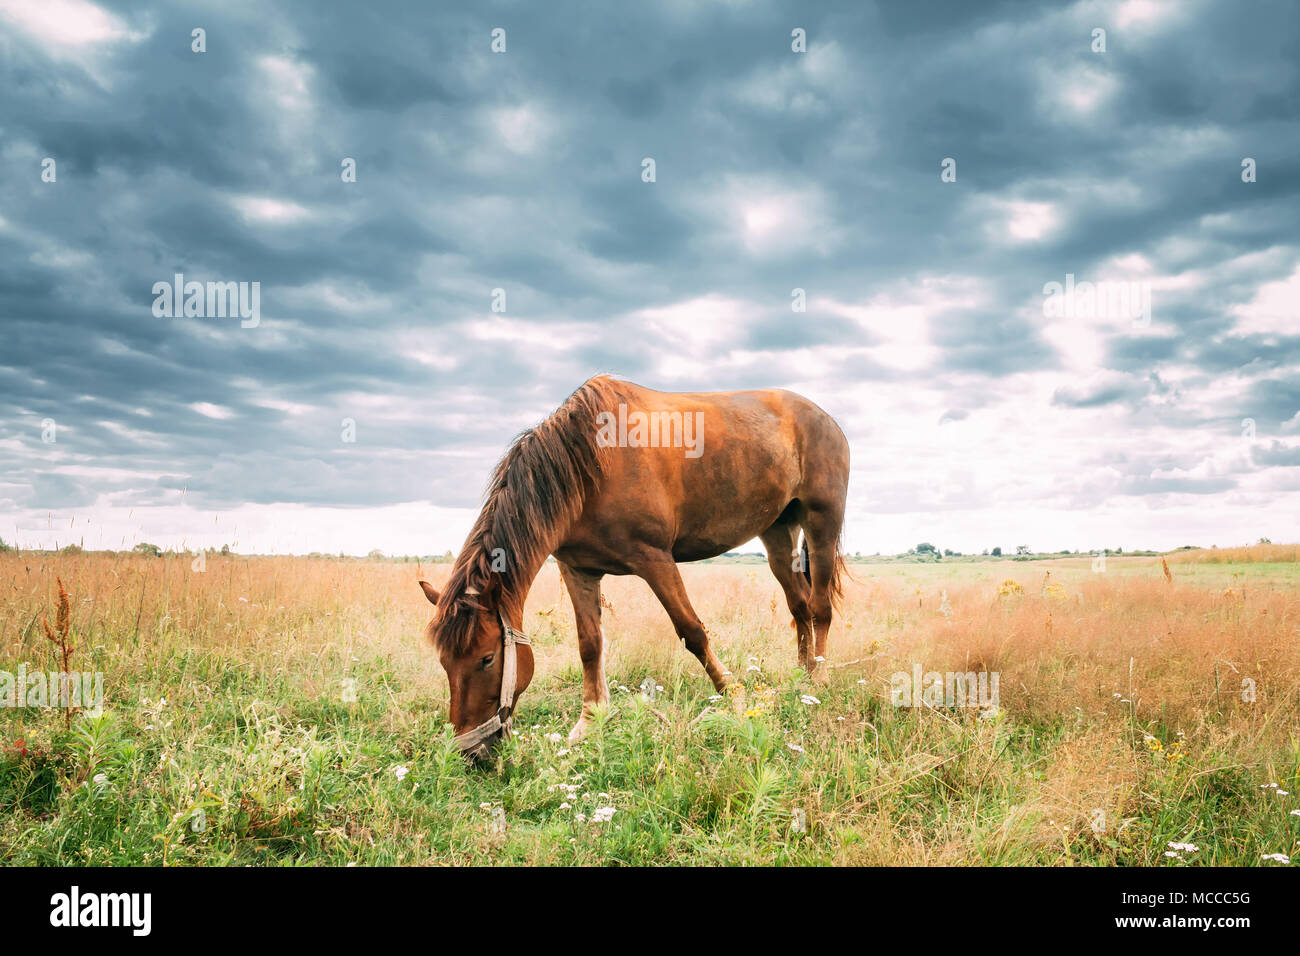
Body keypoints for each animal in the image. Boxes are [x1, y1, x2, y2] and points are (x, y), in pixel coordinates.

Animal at [418, 375, 849, 758]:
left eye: (487, 658)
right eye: (444, 662)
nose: (469, 752)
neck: (589, 465)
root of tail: (826, 418)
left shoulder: (655, 559)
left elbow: (692, 632)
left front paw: (733, 695)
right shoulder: (577, 570)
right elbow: (589, 644)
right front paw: (589, 722)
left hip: (822, 524)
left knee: (820, 607)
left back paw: (820, 677)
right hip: (777, 533)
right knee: (798, 606)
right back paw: (802, 675)